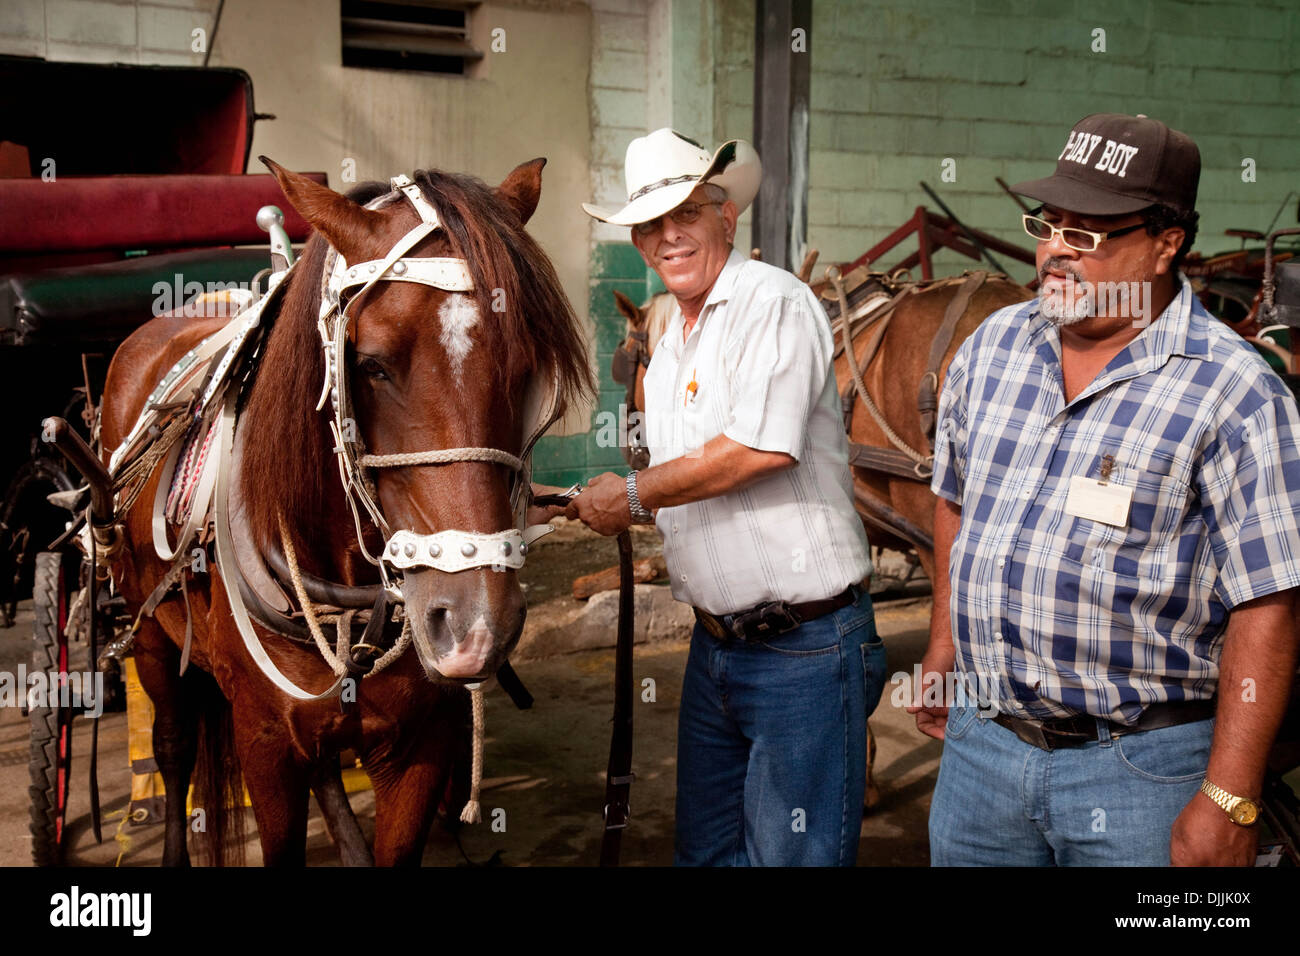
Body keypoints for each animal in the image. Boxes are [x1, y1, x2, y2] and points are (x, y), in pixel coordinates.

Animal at [97, 158, 594, 866]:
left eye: (527, 367)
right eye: (371, 364)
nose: (476, 624)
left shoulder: (420, 744)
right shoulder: (265, 745)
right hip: (150, 637)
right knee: (173, 749)